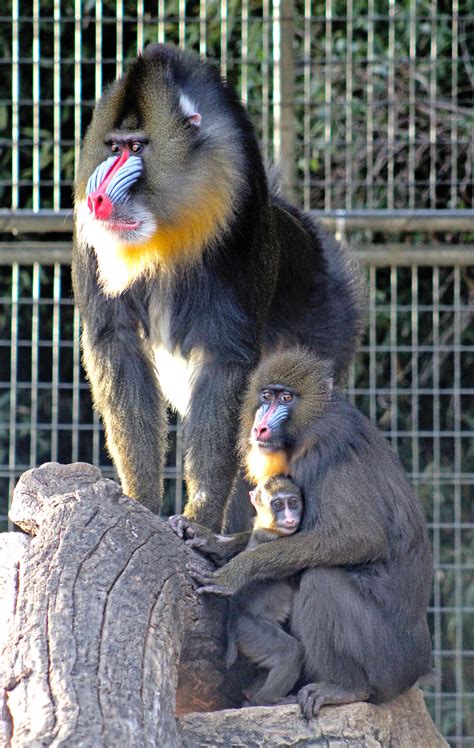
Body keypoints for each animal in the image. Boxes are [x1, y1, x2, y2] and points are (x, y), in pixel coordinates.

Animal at [73, 43, 364, 527]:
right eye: (112, 147)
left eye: (136, 148)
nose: (97, 200)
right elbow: (117, 346)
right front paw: (139, 501)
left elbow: (225, 364)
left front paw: (198, 518)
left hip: (328, 330)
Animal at [225, 475, 304, 706]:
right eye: (278, 505)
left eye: (293, 502)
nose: (289, 519)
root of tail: (235, 616)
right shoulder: (274, 539)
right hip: (250, 630)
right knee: (290, 652)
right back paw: (266, 700)